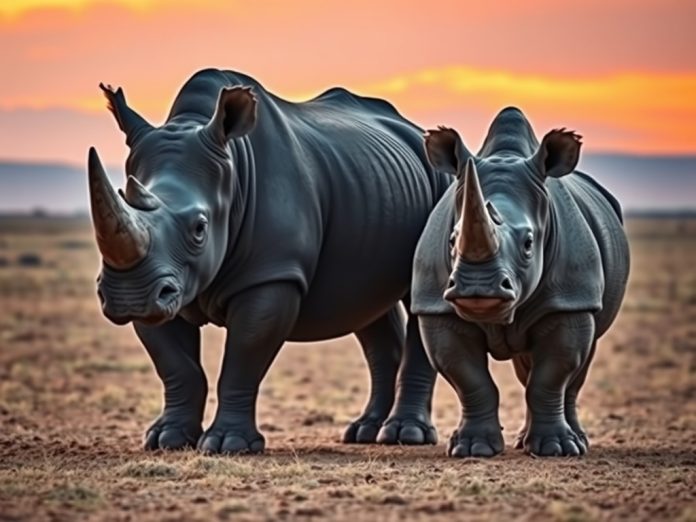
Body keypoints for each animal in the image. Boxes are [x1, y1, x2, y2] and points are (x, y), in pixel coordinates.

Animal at [89, 68, 450, 454]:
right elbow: (176, 365)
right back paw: (364, 432)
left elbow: (243, 356)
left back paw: (404, 436)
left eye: (200, 228)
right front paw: (166, 440)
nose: (128, 297)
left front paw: (228, 445)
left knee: (421, 297)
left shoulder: (272, 274)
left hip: (442, 185)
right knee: (366, 306)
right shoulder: (163, 282)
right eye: (122, 200)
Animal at [413, 108, 629, 457]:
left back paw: (573, 442)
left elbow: (551, 376)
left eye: (529, 243)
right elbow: (469, 379)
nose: (478, 288)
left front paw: (556, 449)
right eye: (452, 240)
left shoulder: (571, 300)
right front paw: (473, 449)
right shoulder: (436, 307)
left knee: (577, 365)